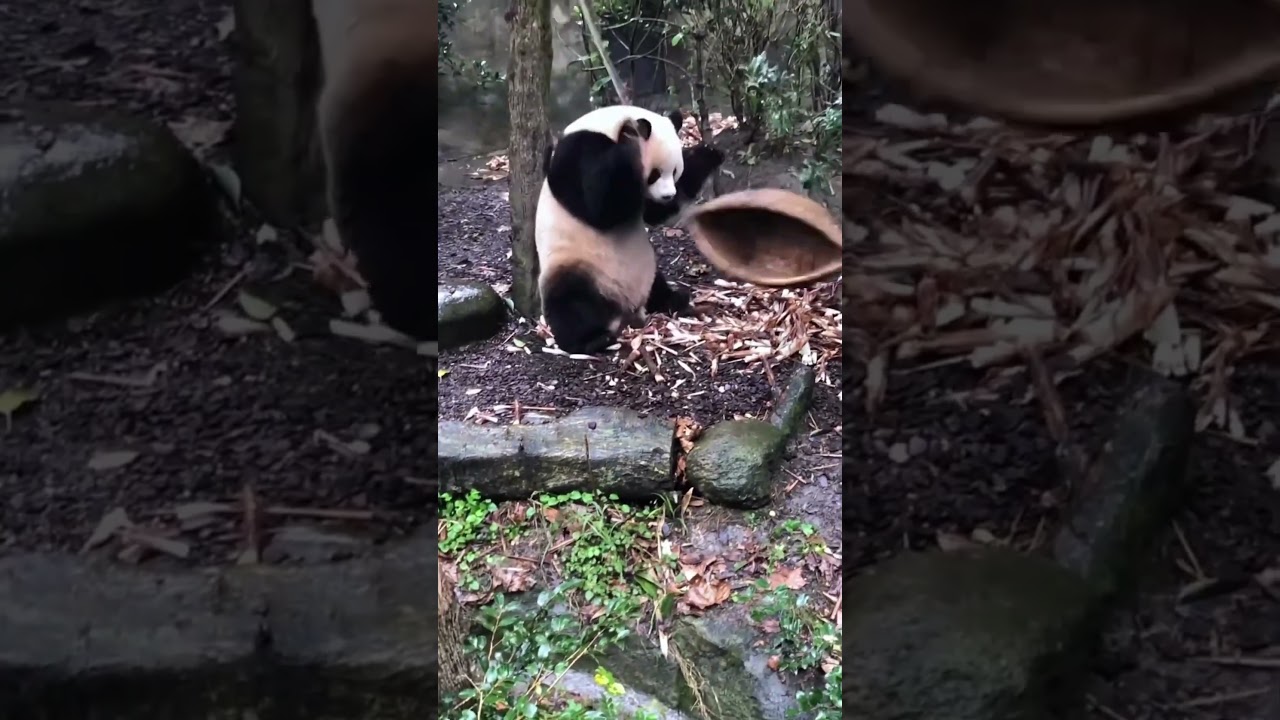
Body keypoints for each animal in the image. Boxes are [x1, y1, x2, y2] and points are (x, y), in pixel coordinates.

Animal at [537, 105, 724, 355]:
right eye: (654, 174)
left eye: (674, 171)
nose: (668, 196)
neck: (604, 126)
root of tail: (626, 310)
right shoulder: (577, 152)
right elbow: (600, 207)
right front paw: (631, 141)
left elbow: (651, 213)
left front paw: (708, 154)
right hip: (575, 263)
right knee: (570, 301)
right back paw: (591, 339)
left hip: (645, 270)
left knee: (657, 284)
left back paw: (674, 299)